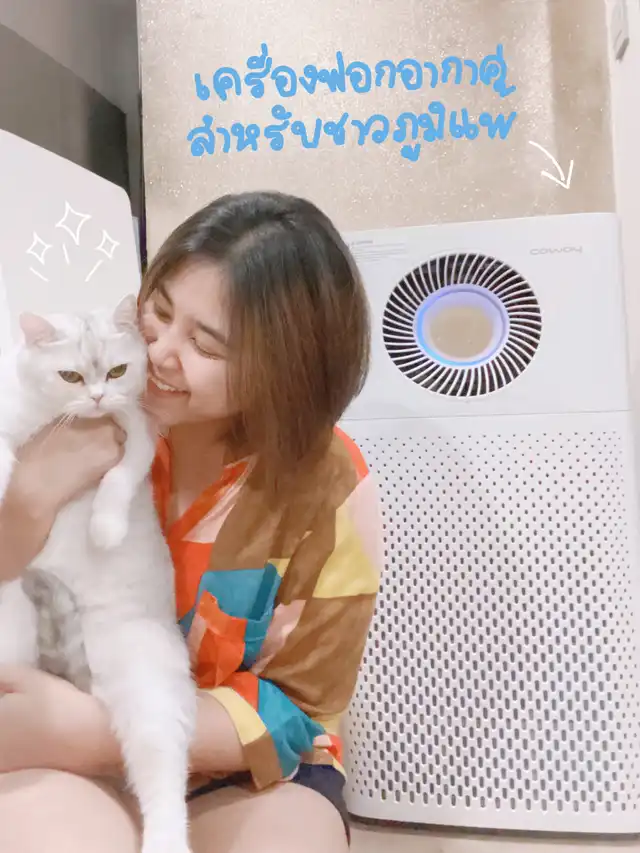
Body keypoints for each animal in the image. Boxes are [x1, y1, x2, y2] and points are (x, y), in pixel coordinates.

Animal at [0, 295, 196, 853]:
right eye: (69, 374)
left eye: (116, 371)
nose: (96, 396)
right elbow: (1, 451)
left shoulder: (136, 432)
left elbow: (119, 479)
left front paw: (105, 528)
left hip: (148, 688)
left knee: (163, 783)